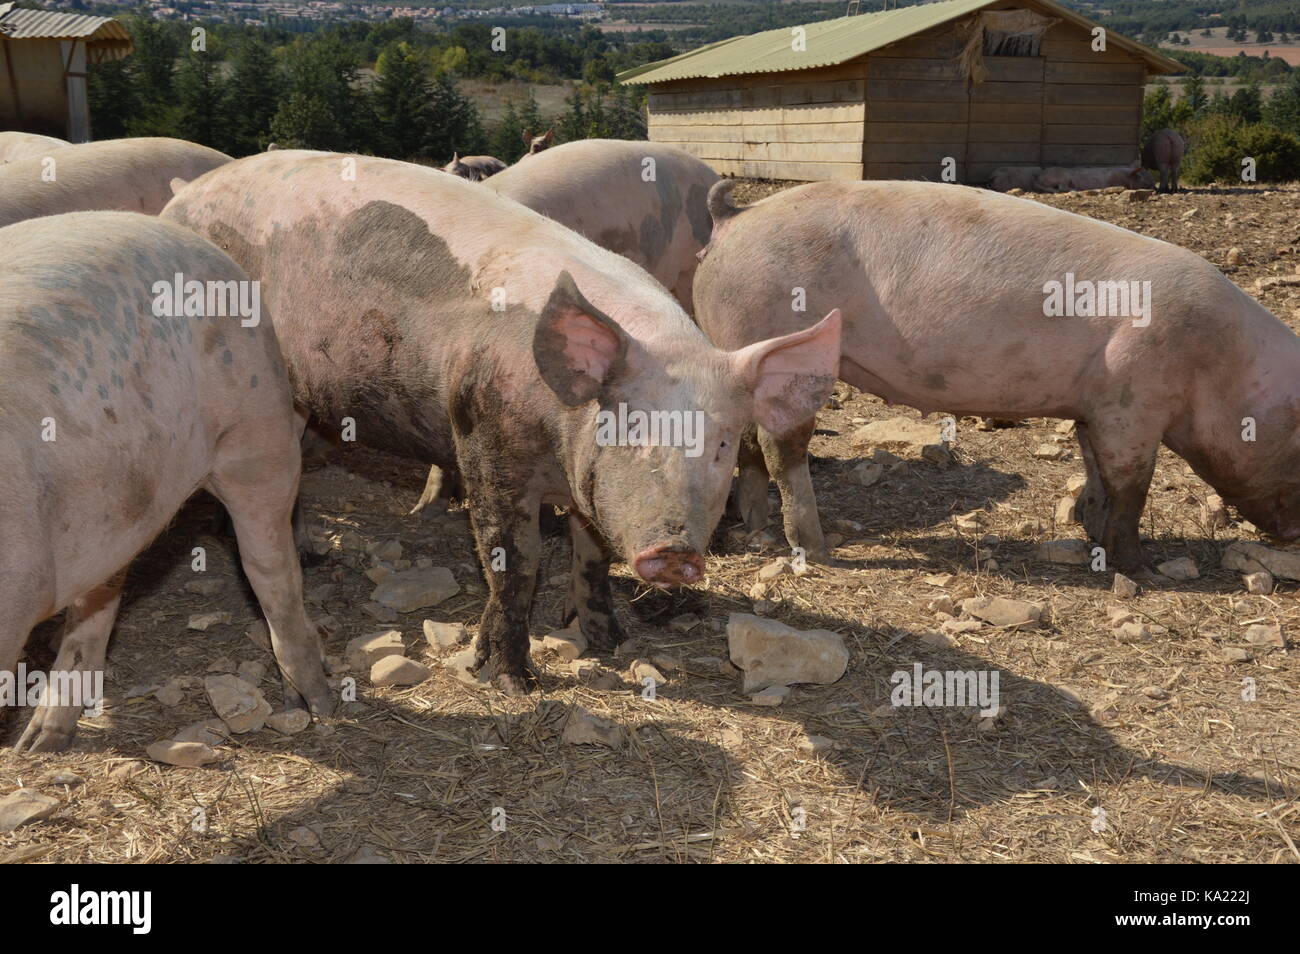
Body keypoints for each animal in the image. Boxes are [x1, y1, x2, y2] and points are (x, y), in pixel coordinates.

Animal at [0, 211, 334, 751]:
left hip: (256, 425)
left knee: (271, 569)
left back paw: (316, 703)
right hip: (117, 489)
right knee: (102, 591)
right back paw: (40, 742)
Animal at [694, 179, 1300, 571]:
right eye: (1298, 442)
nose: (1295, 535)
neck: (1220, 362)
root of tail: (733, 219)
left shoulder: (1095, 405)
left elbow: (1097, 470)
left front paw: (1088, 531)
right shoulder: (1133, 402)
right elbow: (1132, 485)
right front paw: (1139, 569)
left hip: (738, 346)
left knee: (747, 440)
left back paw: (757, 531)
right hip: (786, 343)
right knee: (783, 449)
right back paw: (818, 551)